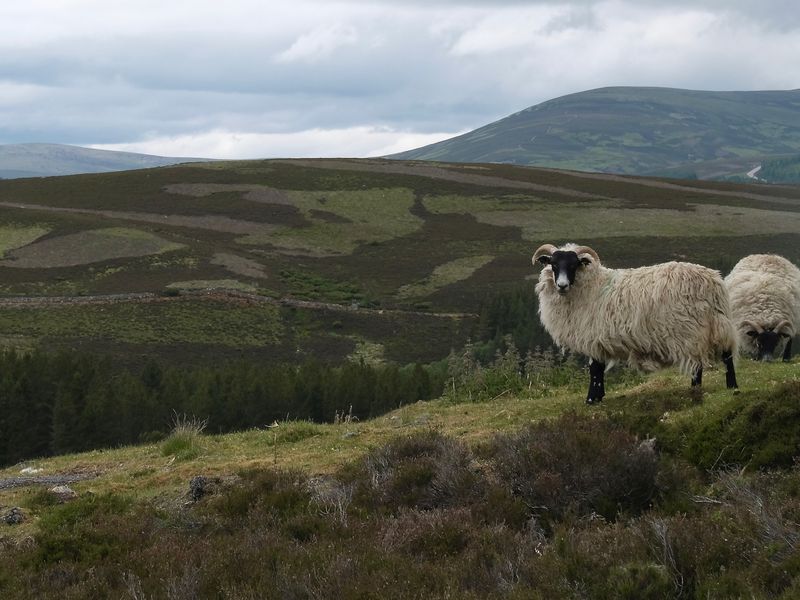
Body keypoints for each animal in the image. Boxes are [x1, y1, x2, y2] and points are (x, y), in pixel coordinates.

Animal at [532, 243, 738, 404]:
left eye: (574, 264)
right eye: (553, 264)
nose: (562, 285)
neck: (590, 286)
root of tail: (713, 282)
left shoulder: (593, 336)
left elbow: (595, 370)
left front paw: (591, 399)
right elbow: (598, 370)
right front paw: (599, 396)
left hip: (691, 329)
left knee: (697, 365)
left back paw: (696, 390)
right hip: (719, 323)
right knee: (727, 355)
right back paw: (732, 386)